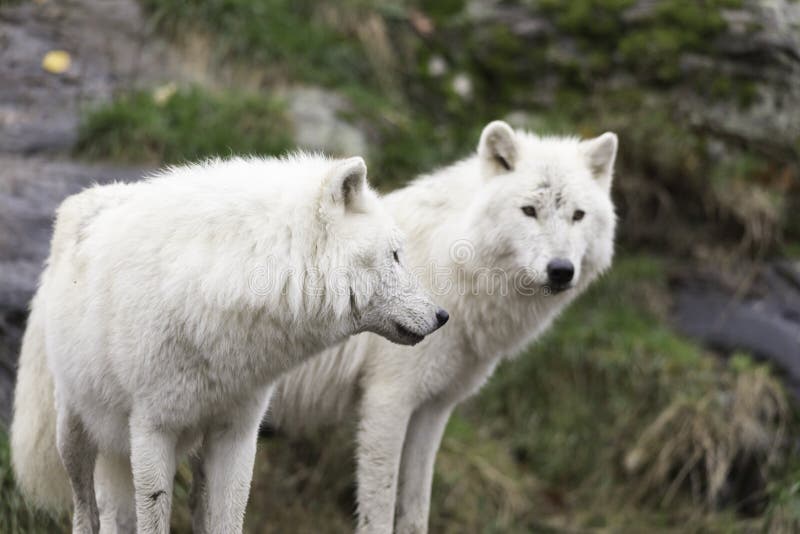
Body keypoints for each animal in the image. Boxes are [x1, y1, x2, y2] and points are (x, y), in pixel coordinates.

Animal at [11, 154, 448, 534]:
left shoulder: (237, 433)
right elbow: (153, 517)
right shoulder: (152, 430)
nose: (442, 316)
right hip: (74, 435)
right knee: (85, 510)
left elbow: (227, 519)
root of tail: (80, 200)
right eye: (395, 255)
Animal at [265, 121, 619, 533]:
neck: (456, 271)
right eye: (529, 211)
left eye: (579, 215)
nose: (561, 270)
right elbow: (380, 510)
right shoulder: (388, 401)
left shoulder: (433, 410)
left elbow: (416, 511)